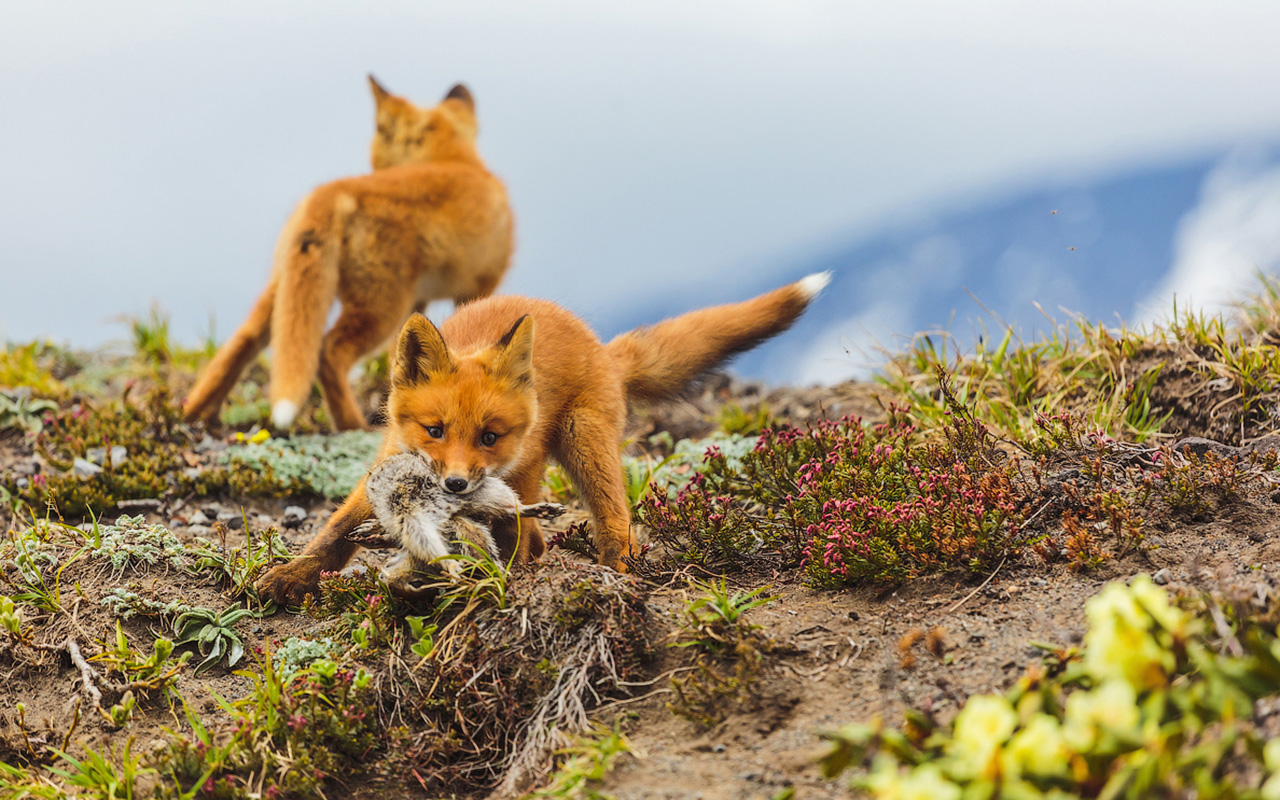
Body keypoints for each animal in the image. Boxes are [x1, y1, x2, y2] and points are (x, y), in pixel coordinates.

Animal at [182, 80, 514, 432]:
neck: (455, 159)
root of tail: (332, 190)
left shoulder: (419, 302)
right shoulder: (479, 286)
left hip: (287, 293)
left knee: (241, 343)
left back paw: (197, 413)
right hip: (380, 309)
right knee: (328, 352)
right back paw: (354, 425)